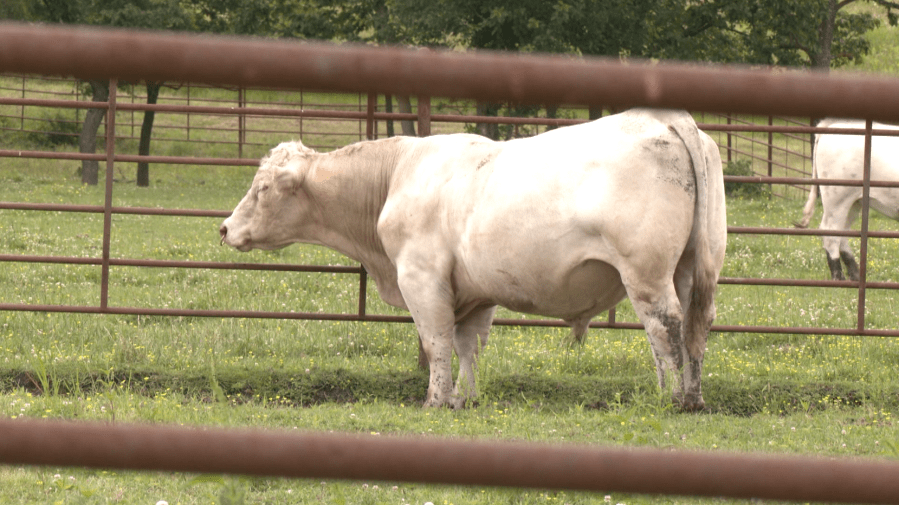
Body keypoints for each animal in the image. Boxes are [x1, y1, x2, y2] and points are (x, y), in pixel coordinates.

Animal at [219, 108, 727, 411]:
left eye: (262, 188)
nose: (224, 228)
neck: (397, 175)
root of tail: (665, 119)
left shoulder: (421, 278)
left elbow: (436, 343)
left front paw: (434, 401)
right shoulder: (476, 292)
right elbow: (469, 347)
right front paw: (465, 398)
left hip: (646, 274)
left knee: (665, 330)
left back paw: (669, 400)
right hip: (692, 267)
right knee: (695, 329)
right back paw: (694, 397)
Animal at [797, 119, 899, 281]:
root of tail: (833, 125)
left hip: (854, 201)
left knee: (843, 232)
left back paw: (855, 275)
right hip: (837, 199)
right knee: (830, 232)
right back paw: (838, 277)